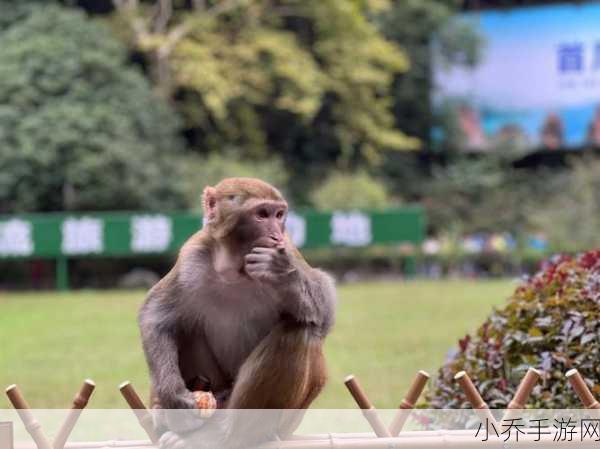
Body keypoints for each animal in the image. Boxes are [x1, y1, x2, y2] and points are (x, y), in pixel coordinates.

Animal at [139, 177, 338, 446]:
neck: (235, 267)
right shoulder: (193, 255)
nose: (275, 235)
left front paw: (282, 273)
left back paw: (218, 436)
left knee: (299, 333)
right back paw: (168, 416)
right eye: (262, 214)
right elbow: (156, 316)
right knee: (183, 324)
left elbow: (324, 311)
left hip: (285, 422)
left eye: (278, 215)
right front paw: (175, 396)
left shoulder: (289, 249)